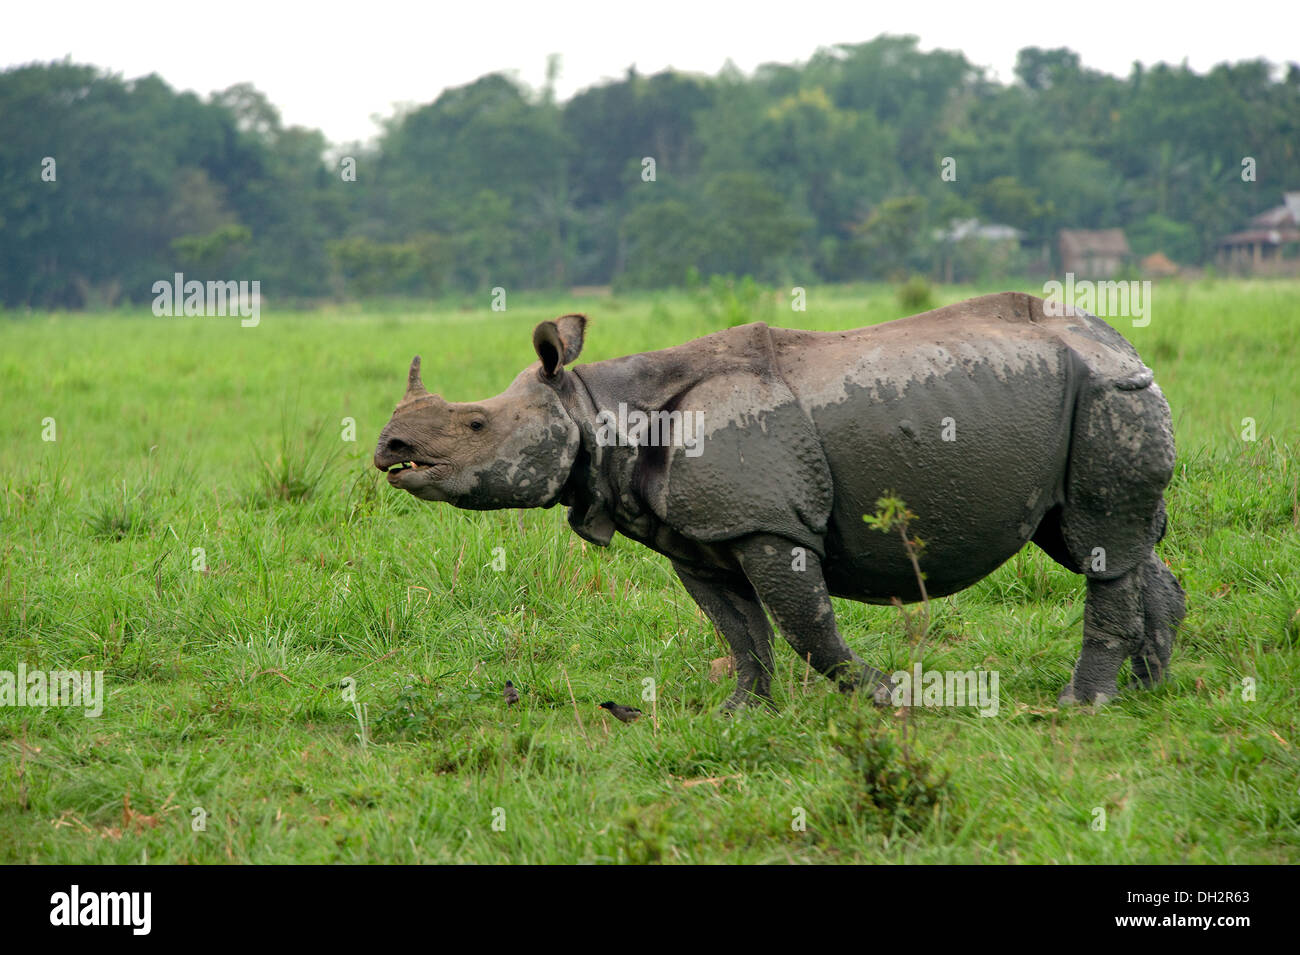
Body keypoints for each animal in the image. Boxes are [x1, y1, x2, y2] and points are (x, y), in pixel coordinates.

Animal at [374, 292, 1185, 710]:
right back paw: (1149, 689)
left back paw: (1081, 706)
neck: (596, 407)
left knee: (1100, 542)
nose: (388, 447)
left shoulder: (768, 524)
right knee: (1097, 540)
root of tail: (1122, 340)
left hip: (1108, 392)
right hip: (1082, 395)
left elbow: (805, 624)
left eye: (476, 425)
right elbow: (740, 630)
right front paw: (743, 714)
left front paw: (890, 698)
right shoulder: (695, 537)